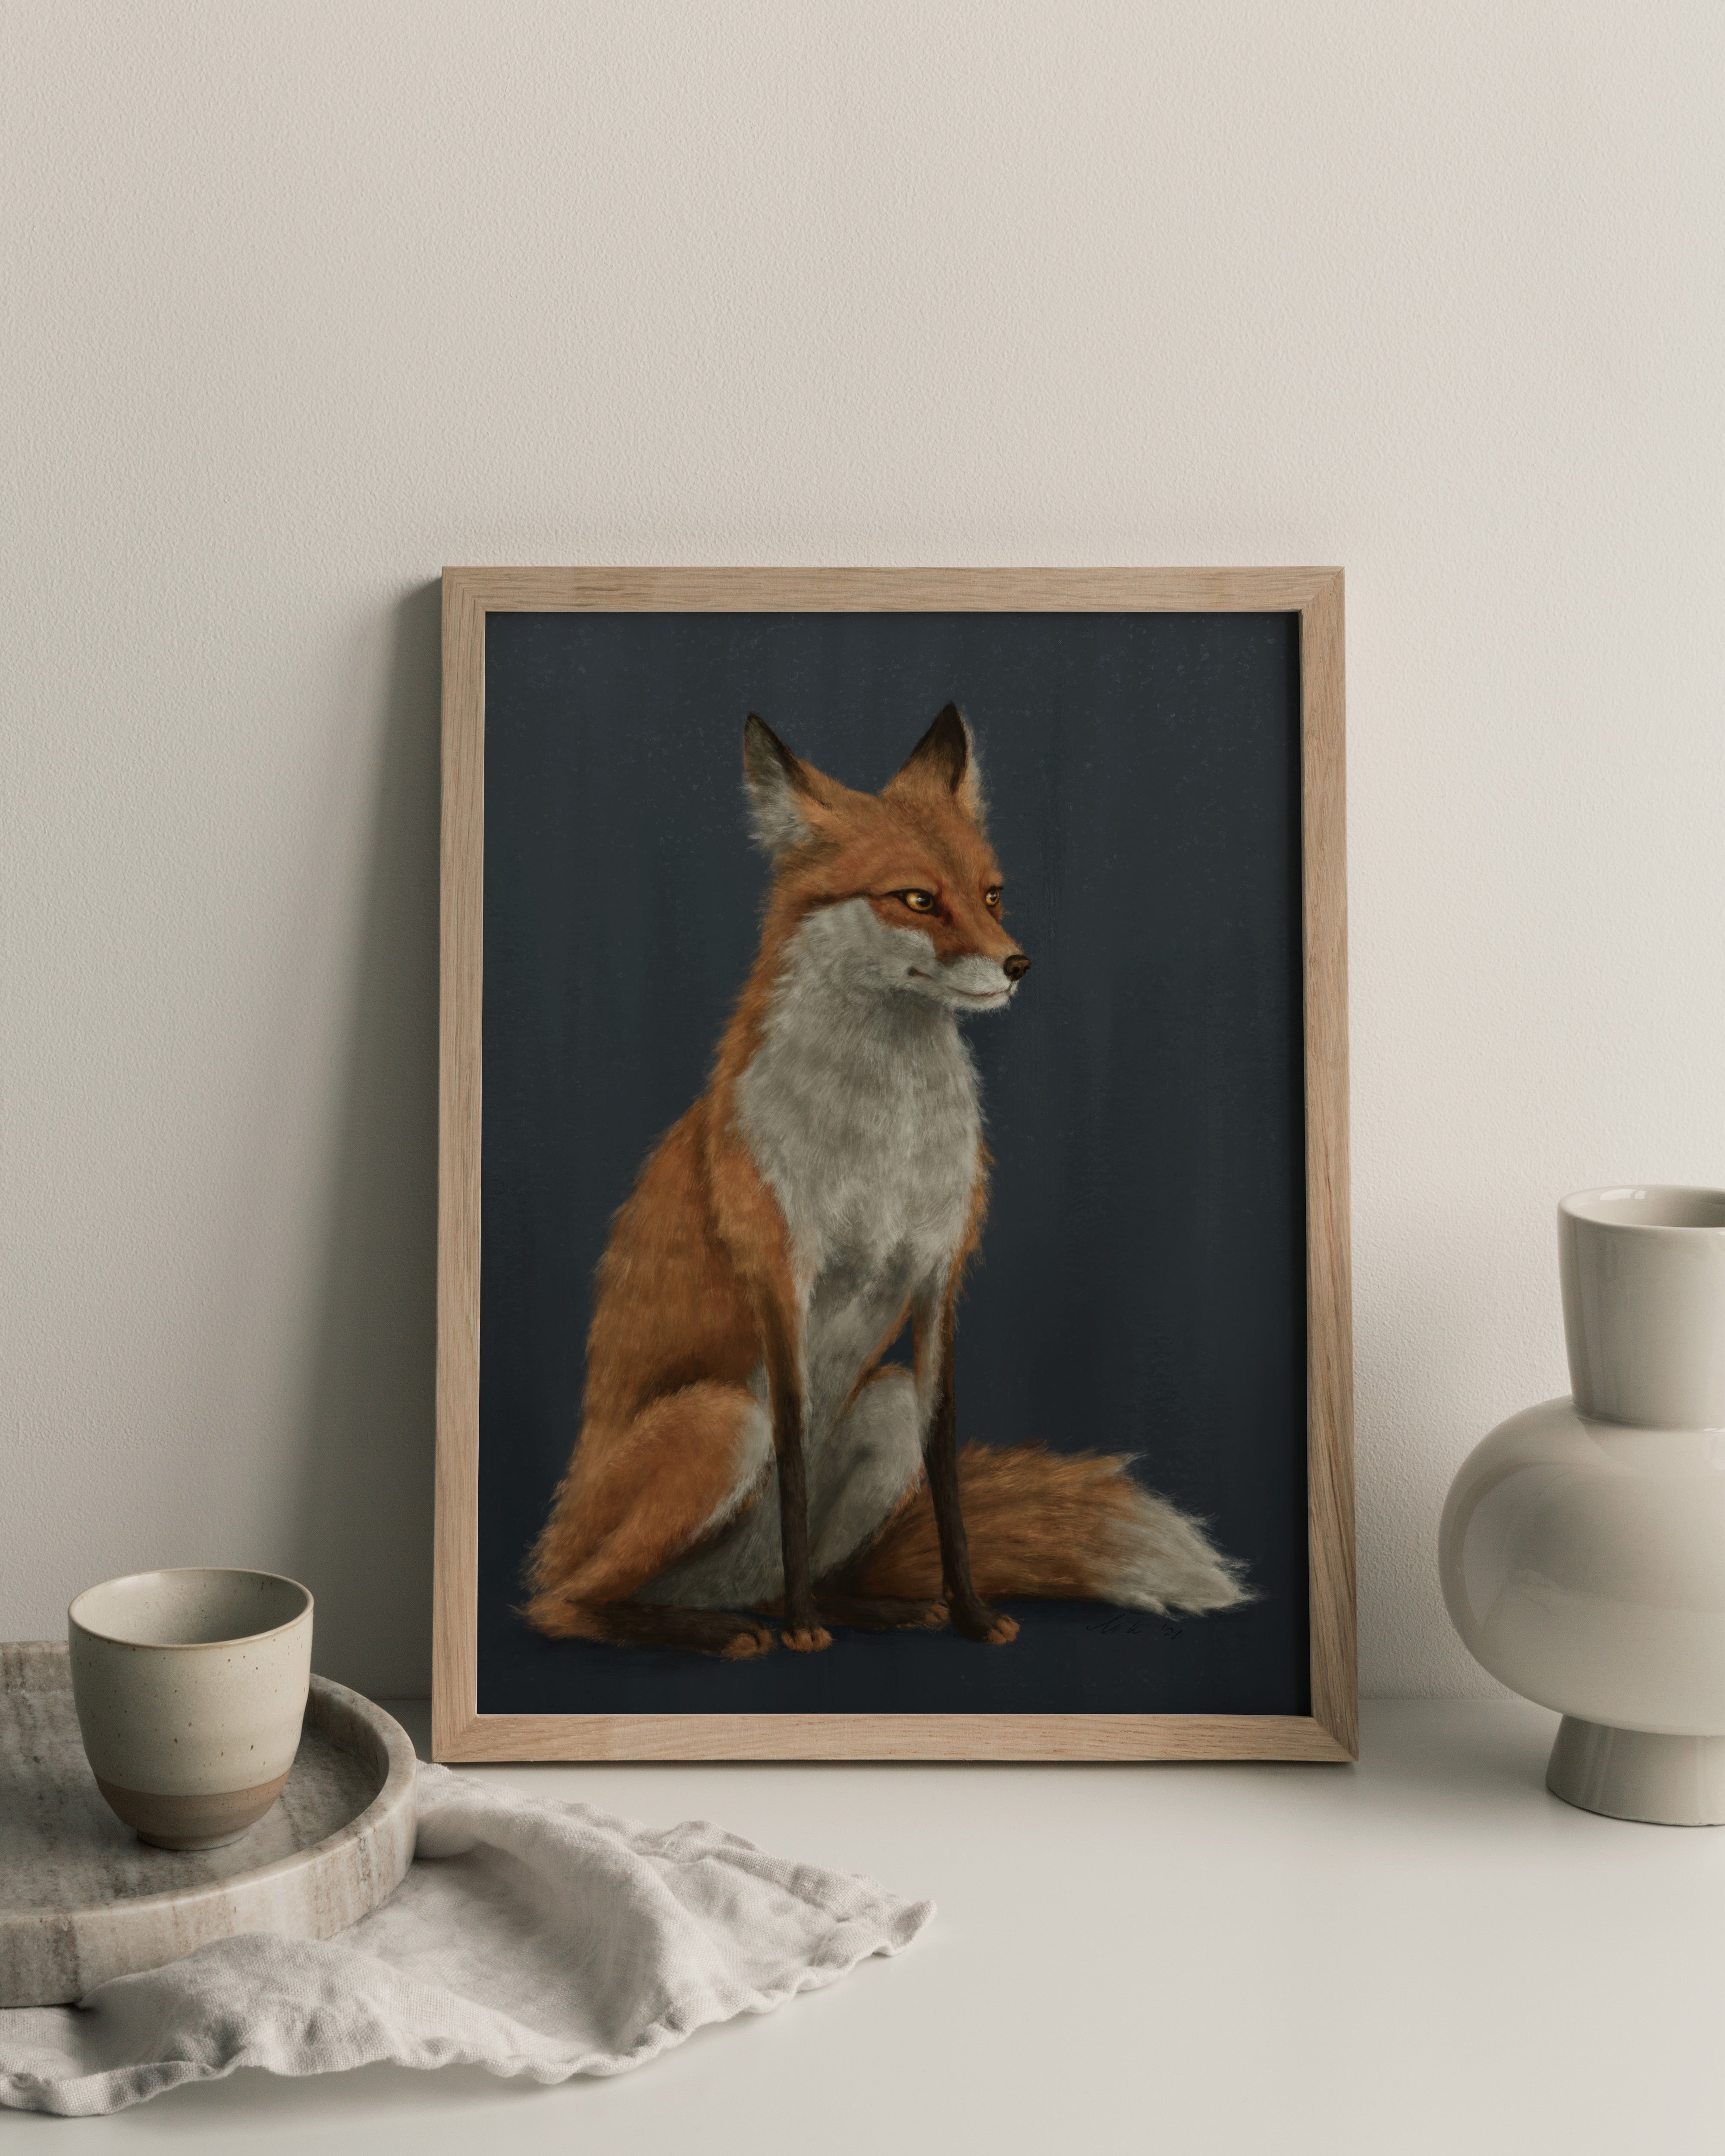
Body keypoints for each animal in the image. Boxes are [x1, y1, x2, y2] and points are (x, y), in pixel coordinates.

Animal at [523, 703, 1249, 1657]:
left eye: (991, 894)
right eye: (916, 899)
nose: (1018, 965)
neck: (884, 1143)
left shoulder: (939, 1279)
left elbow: (946, 1474)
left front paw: (969, 1614)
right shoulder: (782, 1280)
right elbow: (794, 1462)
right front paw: (804, 1632)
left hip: (882, 1404)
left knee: (776, 1574)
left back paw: (859, 1607)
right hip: (720, 1421)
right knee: (564, 1605)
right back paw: (722, 1628)